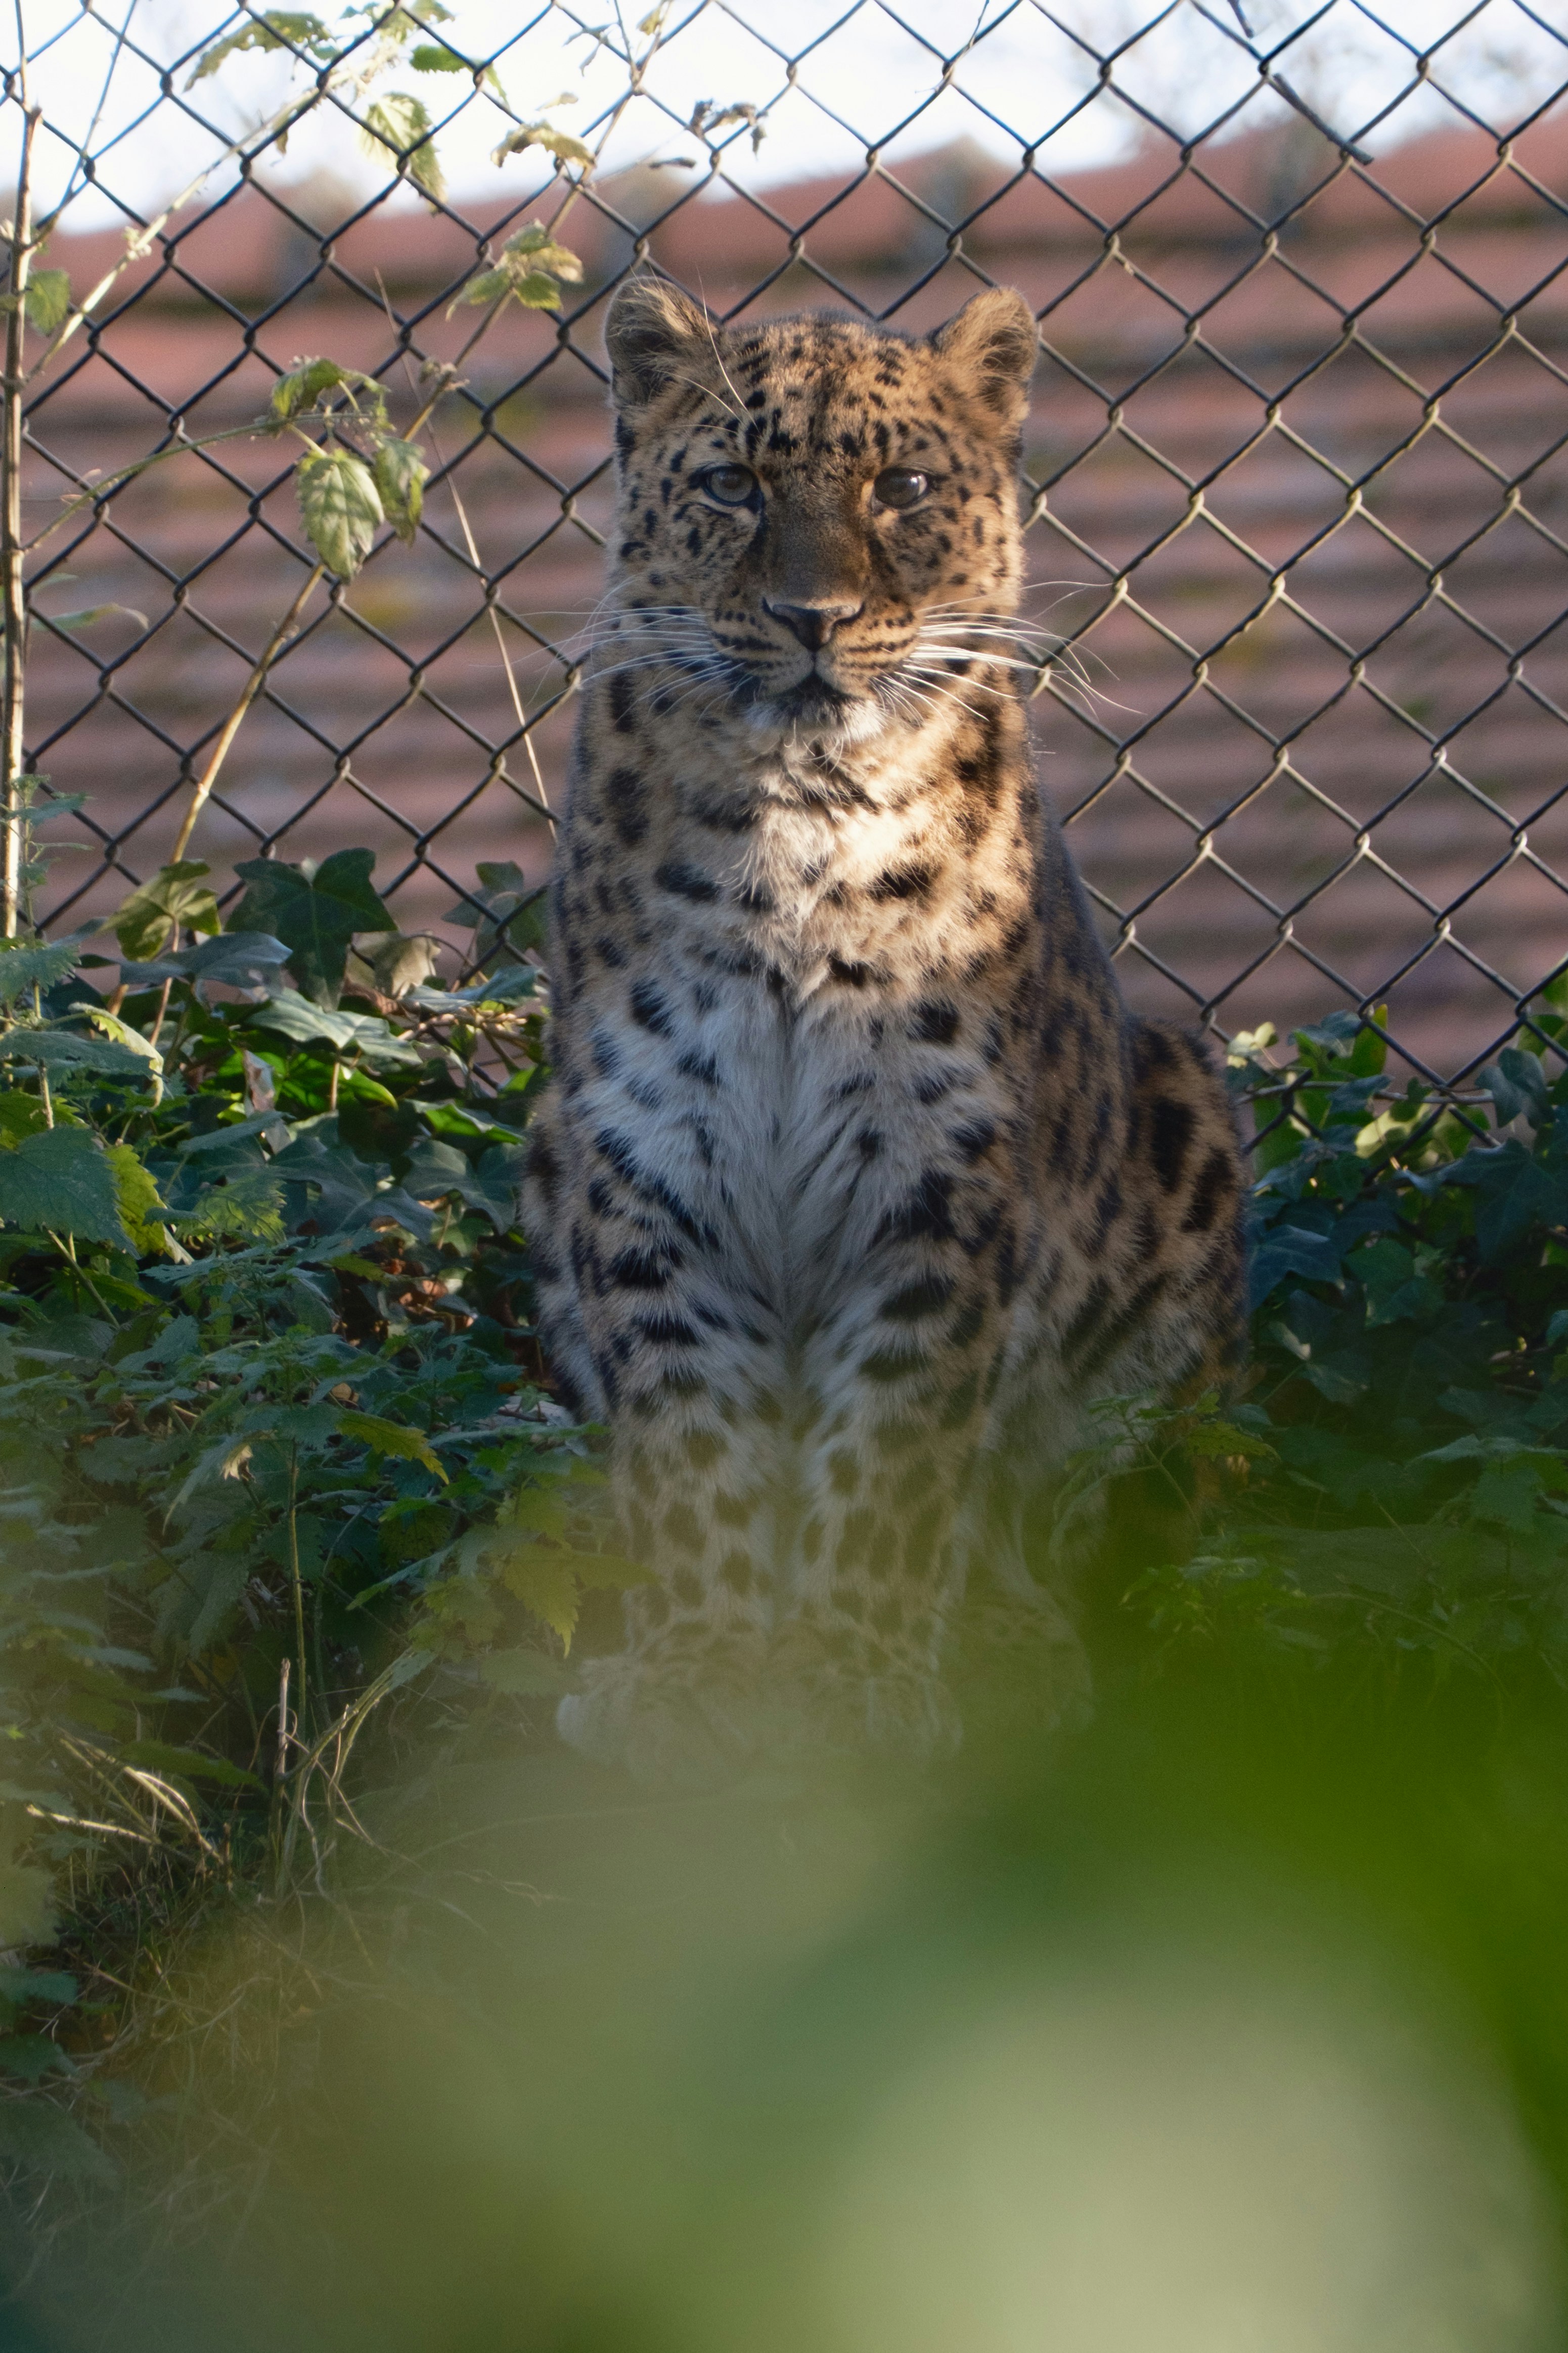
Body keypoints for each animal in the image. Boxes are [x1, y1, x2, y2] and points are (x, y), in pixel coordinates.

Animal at [521, 275, 1246, 1783]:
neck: (799, 819)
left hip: (1182, 1116)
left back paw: (1010, 1637)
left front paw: (857, 1660)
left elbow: (900, 1450)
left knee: (1048, 1511)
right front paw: (698, 1661)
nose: (813, 616)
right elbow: (688, 1439)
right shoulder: (651, 1153)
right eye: (732, 485)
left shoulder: (934, 1165)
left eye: (903, 486)